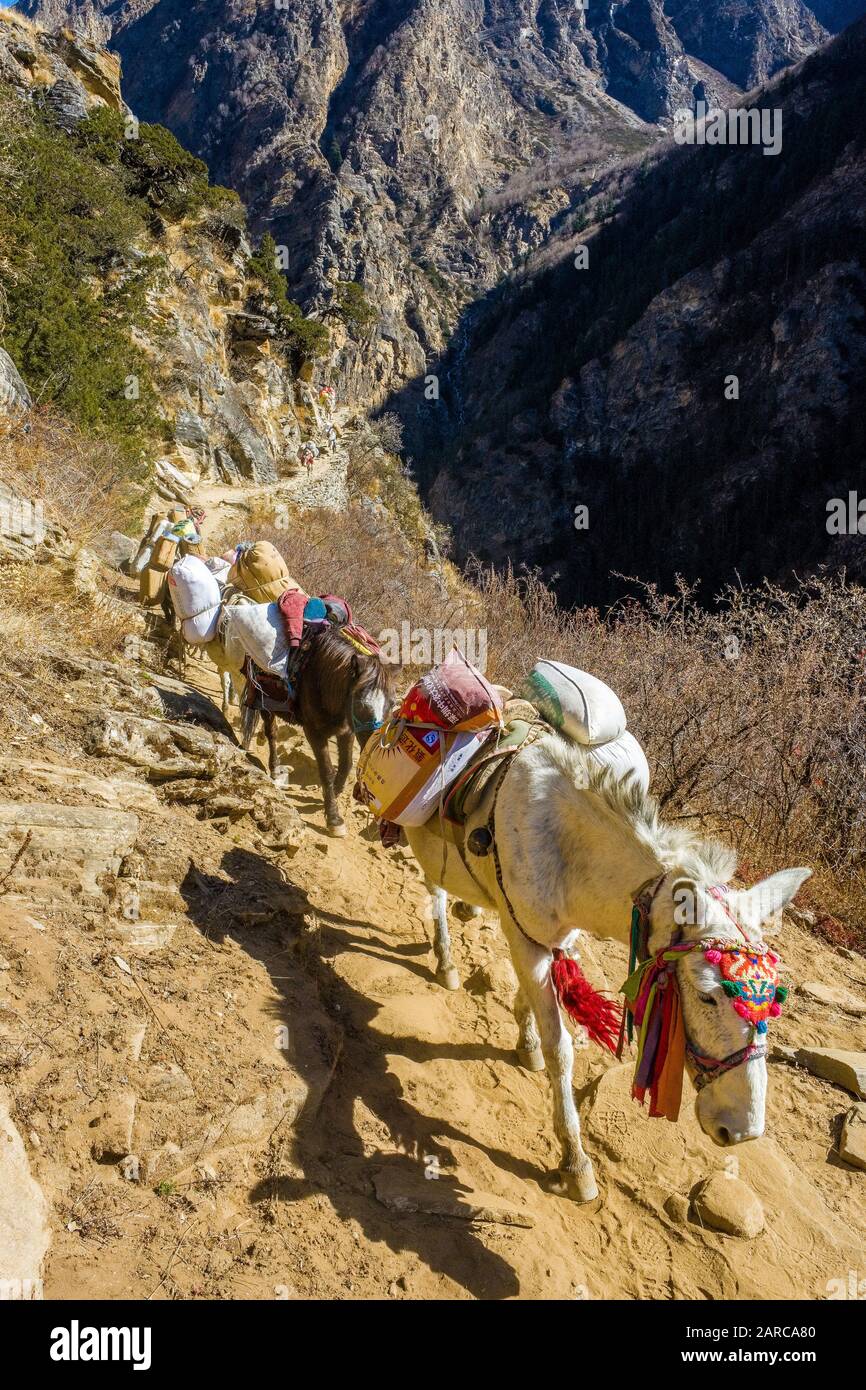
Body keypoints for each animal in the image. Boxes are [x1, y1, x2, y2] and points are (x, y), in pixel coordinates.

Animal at [243, 625, 397, 836]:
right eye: (360, 701)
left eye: (393, 703)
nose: (374, 744)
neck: (324, 680)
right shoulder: (315, 733)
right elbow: (327, 770)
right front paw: (333, 817)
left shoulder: (346, 732)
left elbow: (346, 765)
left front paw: (334, 793)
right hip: (265, 701)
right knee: (271, 733)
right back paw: (274, 768)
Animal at [404, 731, 809, 1202]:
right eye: (707, 995)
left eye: (775, 1000)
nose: (743, 1131)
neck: (570, 849)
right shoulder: (527, 939)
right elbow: (560, 1048)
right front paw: (575, 1162)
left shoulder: (552, 934)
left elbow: (534, 999)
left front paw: (525, 1040)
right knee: (434, 890)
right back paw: (445, 959)